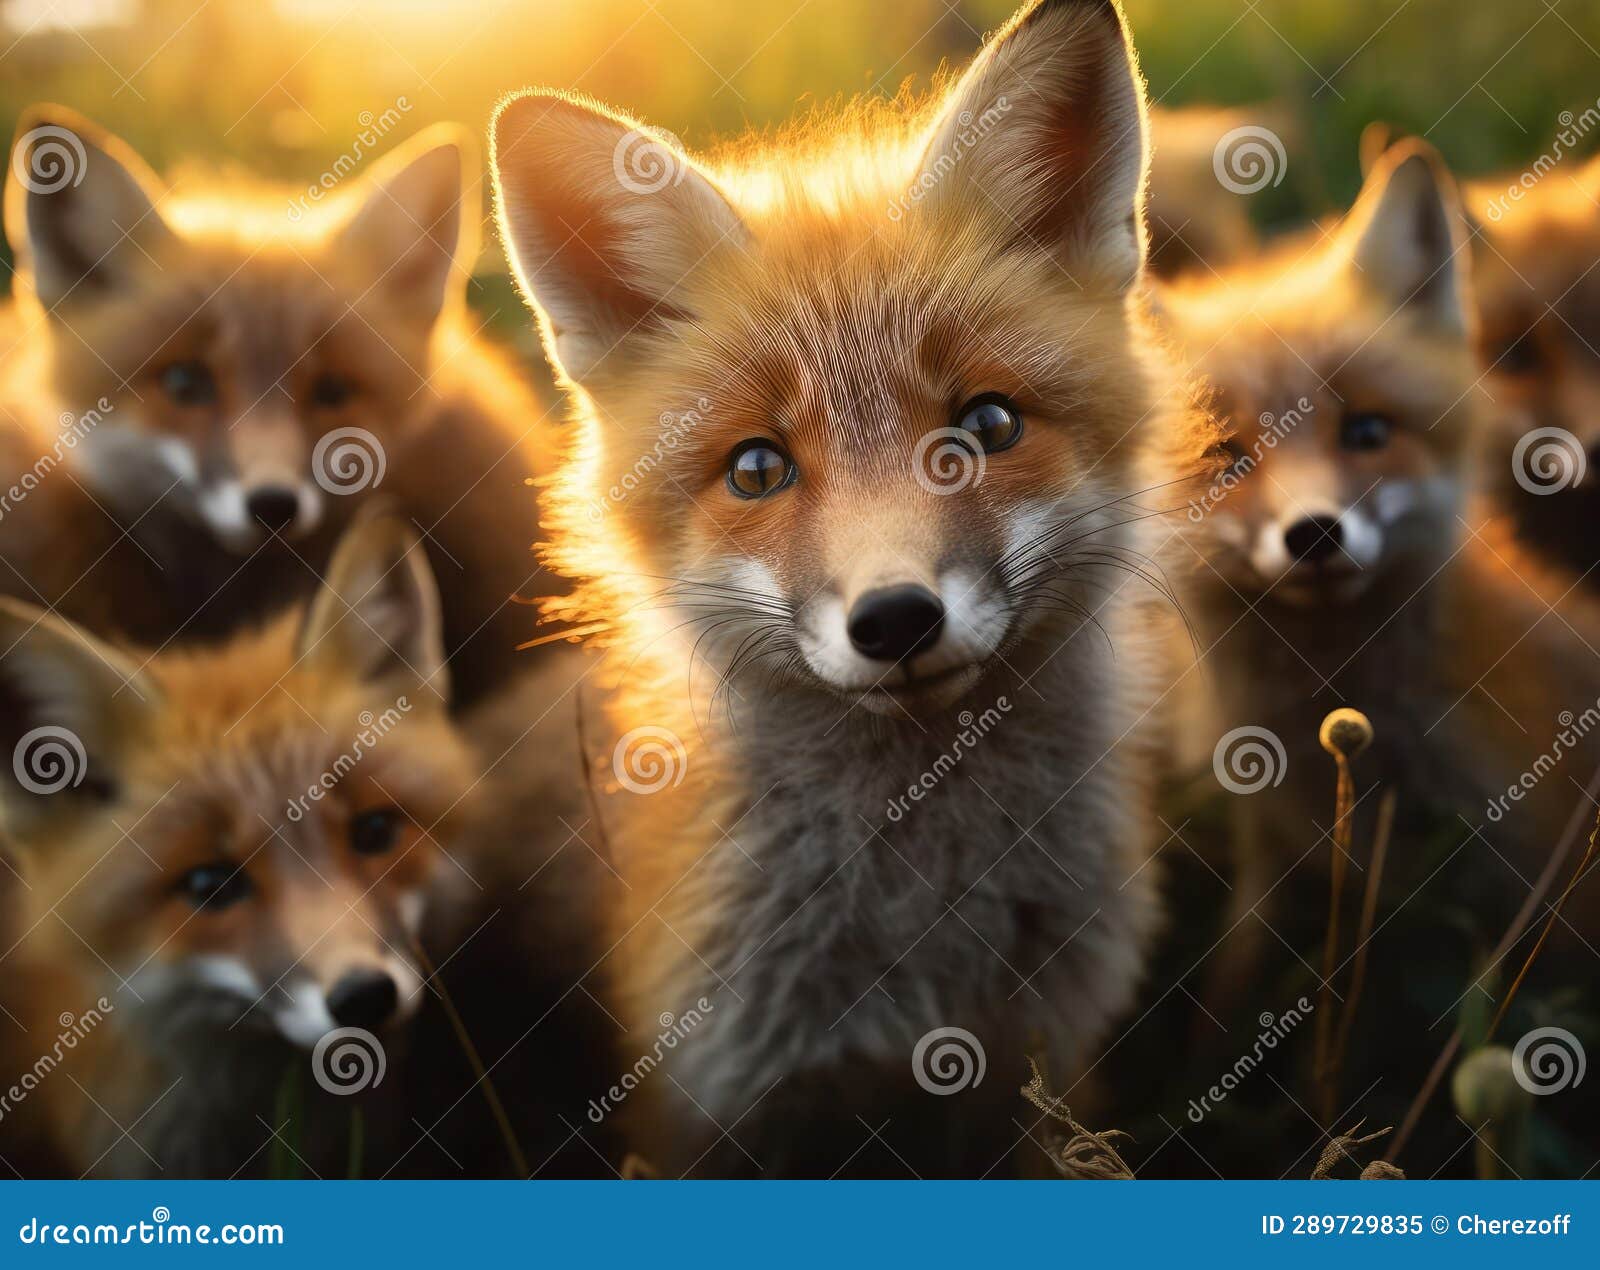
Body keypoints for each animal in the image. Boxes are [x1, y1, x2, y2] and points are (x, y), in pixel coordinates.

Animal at [491, 0, 1215, 1176]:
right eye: (755, 469)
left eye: (987, 425)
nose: (896, 618)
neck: (920, 948)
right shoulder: (705, 1098)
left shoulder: (1039, 1068)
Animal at [1159, 140, 1600, 1008]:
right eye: (1226, 461)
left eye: (1367, 431)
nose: (1315, 534)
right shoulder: (1272, 860)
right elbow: (1235, 976)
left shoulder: (1540, 879)